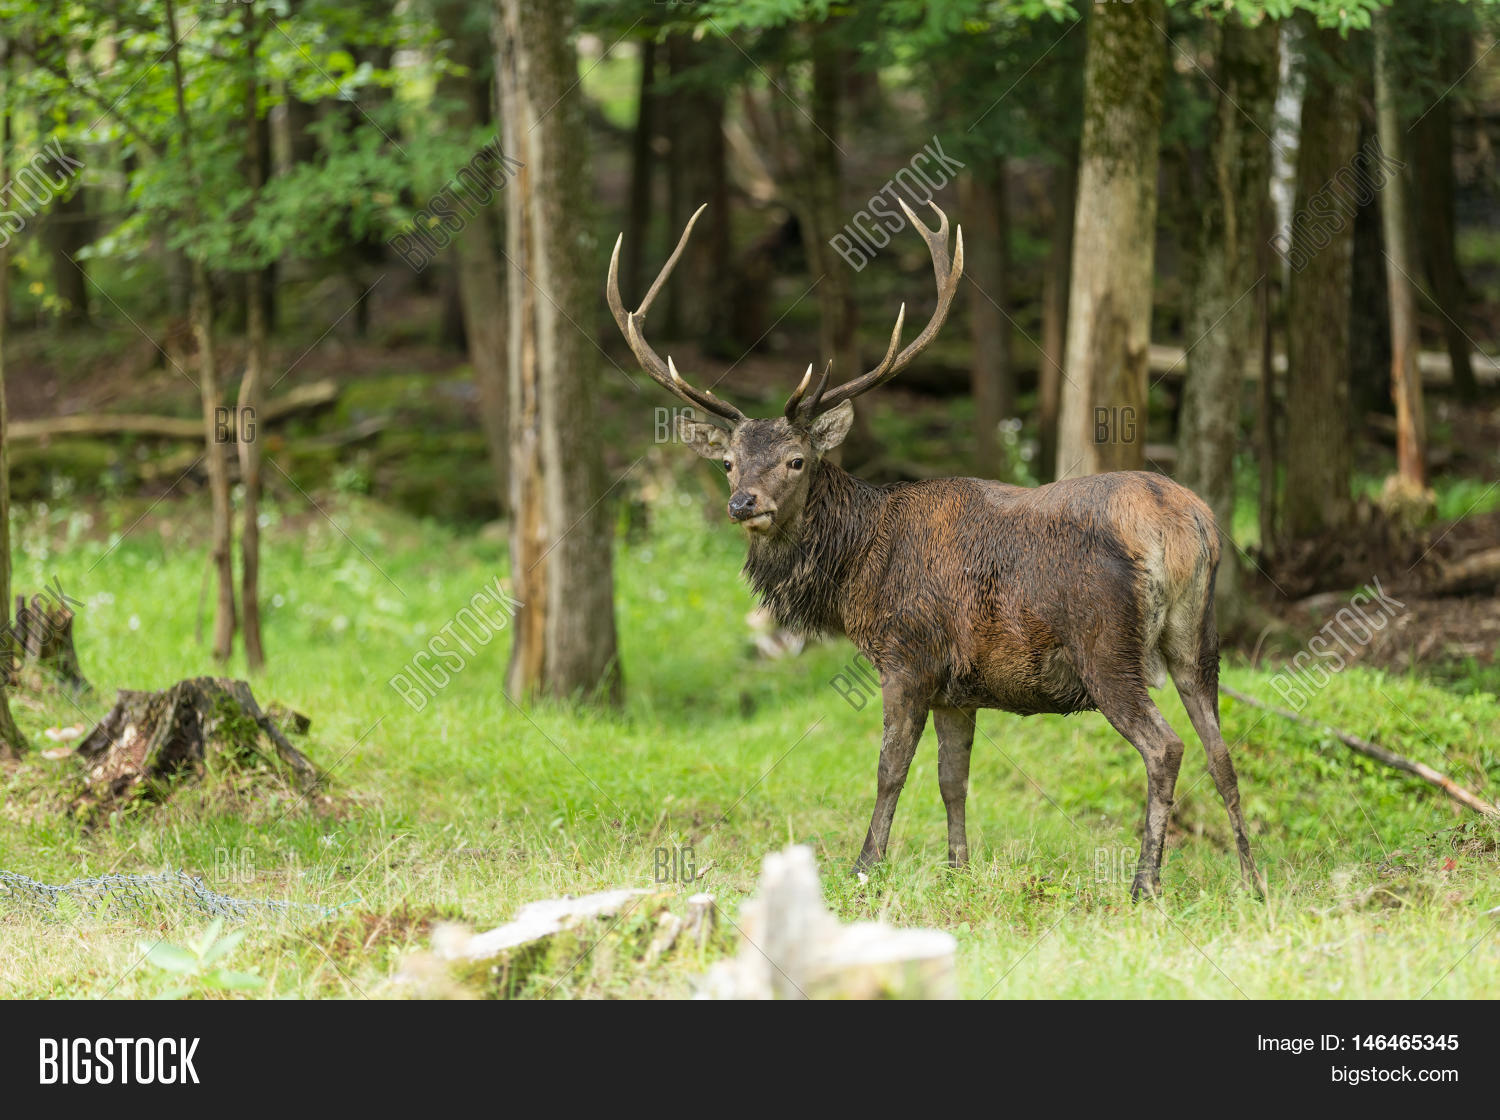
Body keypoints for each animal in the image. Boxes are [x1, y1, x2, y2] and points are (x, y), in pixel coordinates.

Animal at [606, 200, 1265, 900]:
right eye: (728, 462)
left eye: (796, 460)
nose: (742, 504)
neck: (856, 574)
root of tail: (1185, 523)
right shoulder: (960, 686)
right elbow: (955, 780)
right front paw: (959, 868)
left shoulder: (909, 655)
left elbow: (890, 768)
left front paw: (866, 865)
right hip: (1198, 642)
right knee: (1221, 751)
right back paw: (1251, 881)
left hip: (1106, 644)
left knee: (1165, 747)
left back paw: (1145, 884)